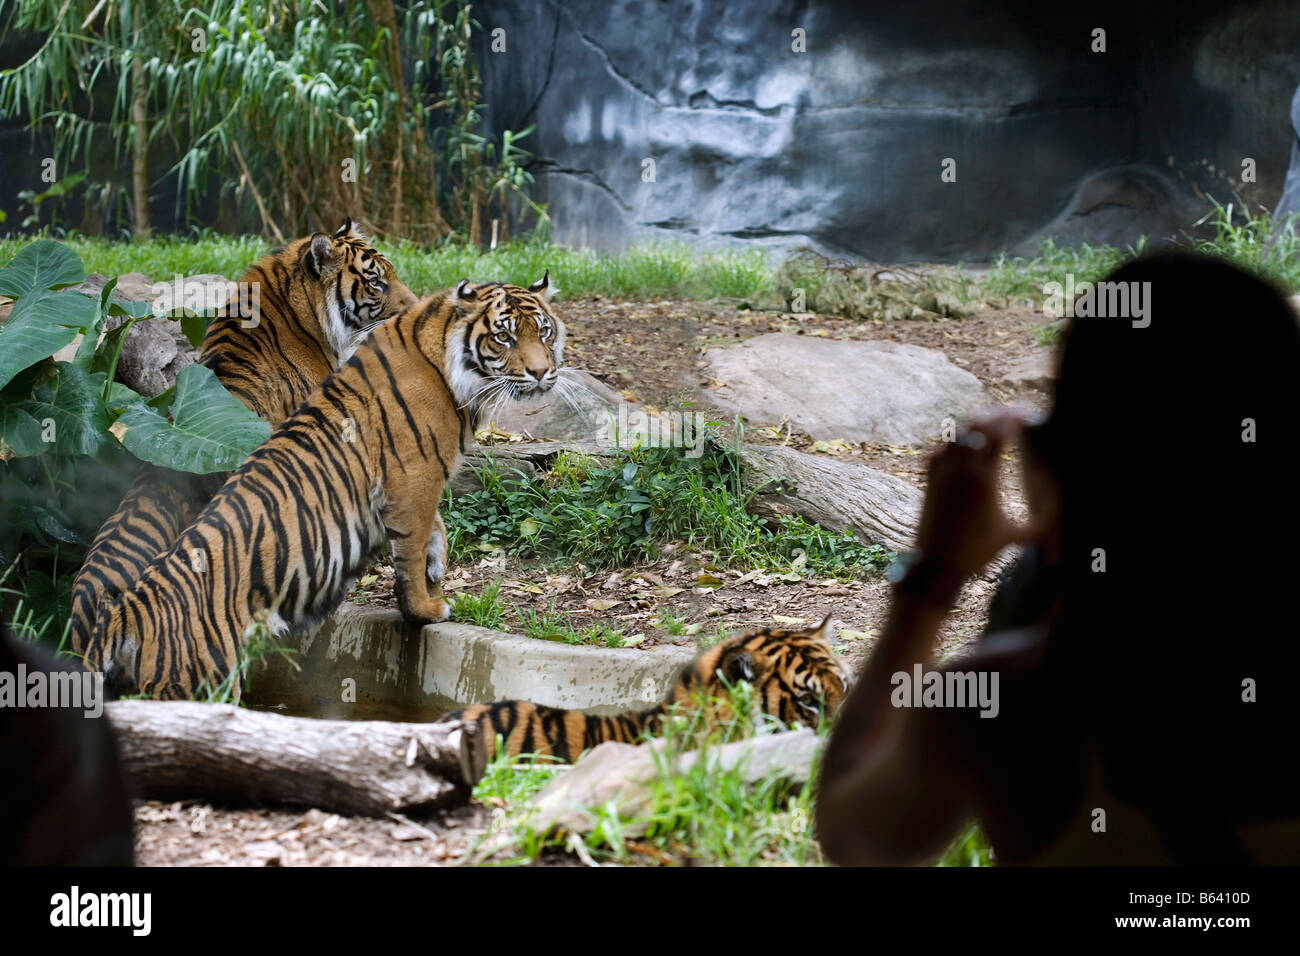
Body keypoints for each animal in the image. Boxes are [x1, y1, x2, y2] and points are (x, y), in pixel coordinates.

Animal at [86, 275, 564, 700]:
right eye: (503, 337)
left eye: (543, 331)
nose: (542, 372)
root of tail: (124, 614)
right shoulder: (415, 478)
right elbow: (410, 550)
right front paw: (427, 607)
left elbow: (435, 529)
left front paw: (436, 565)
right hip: (203, 682)